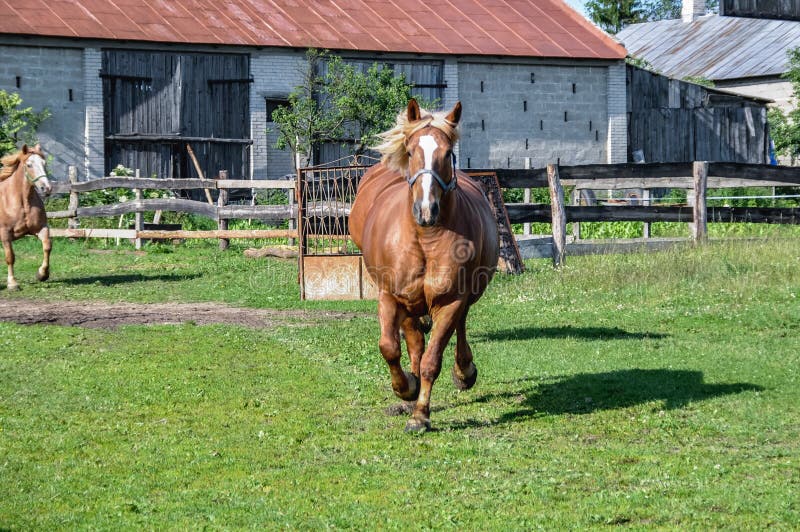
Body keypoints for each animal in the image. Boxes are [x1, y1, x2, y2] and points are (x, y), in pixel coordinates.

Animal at [0, 144, 52, 291]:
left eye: (44, 163)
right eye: (29, 165)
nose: (46, 188)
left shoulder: (41, 228)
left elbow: (47, 246)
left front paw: (42, 274)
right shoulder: (4, 233)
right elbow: (10, 257)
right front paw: (12, 283)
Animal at [349, 99, 499, 431]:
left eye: (447, 153)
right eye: (410, 151)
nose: (426, 209)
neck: (425, 239)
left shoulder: (451, 301)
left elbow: (432, 360)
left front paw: (420, 414)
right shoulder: (391, 297)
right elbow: (390, 347)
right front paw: (406, 388)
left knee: (458, 329)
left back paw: (464, 372)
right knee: (414, 339)